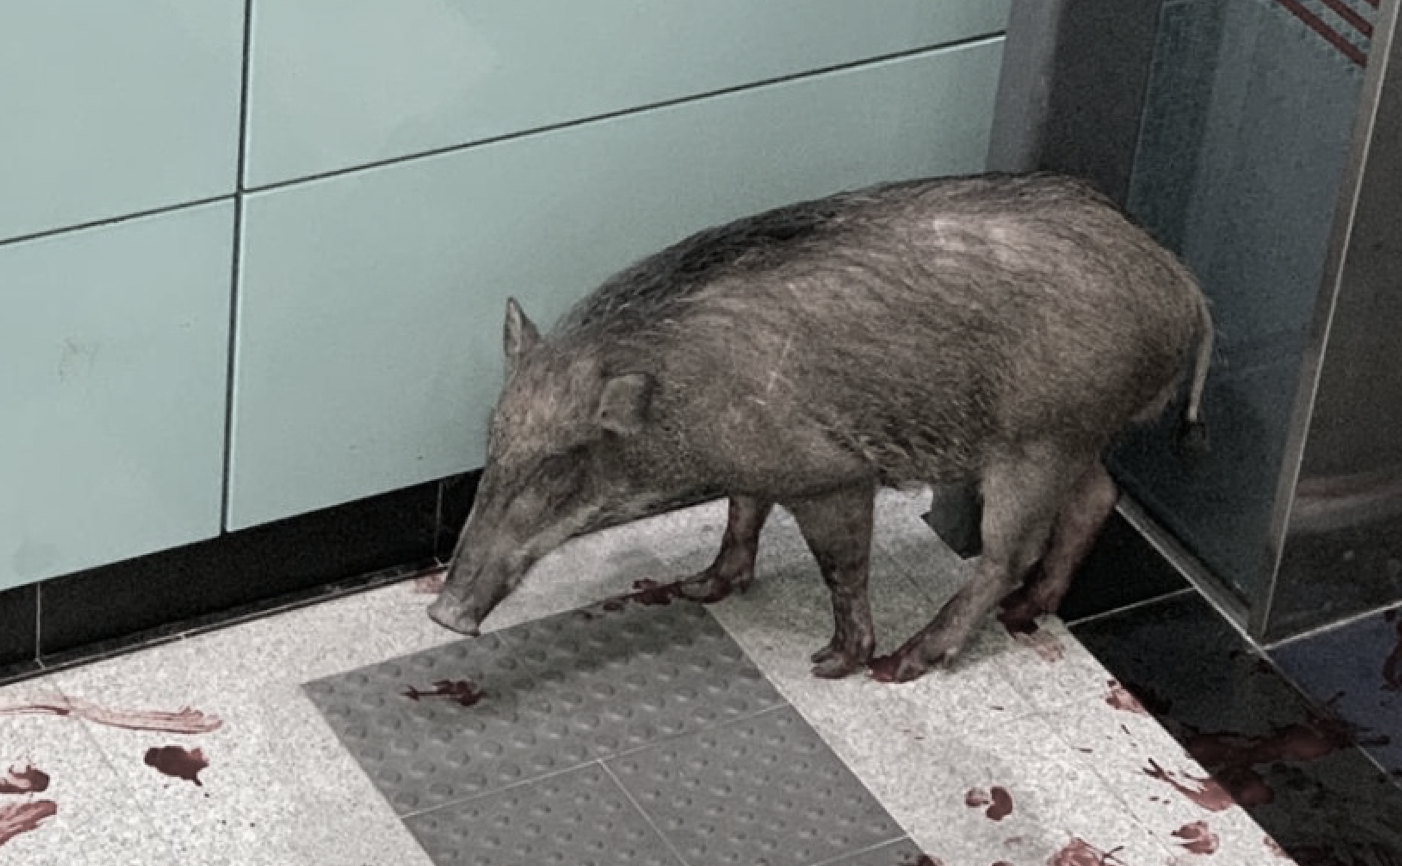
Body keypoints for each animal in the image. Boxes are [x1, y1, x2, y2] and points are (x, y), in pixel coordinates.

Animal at [429, 172, 1213, 683]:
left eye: (561, 465)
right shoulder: (756, 468)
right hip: (1075, 435)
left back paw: (907, 662)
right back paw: (1029, 612)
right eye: (492, 442)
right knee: (1098, 497)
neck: (679, 404)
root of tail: (1185, 289)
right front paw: (701, 588)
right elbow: (742, 513)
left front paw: (835, 663)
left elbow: (840, 565)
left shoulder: (830, 474)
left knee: (1006, 554)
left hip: (1036, 443)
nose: (442, 612)